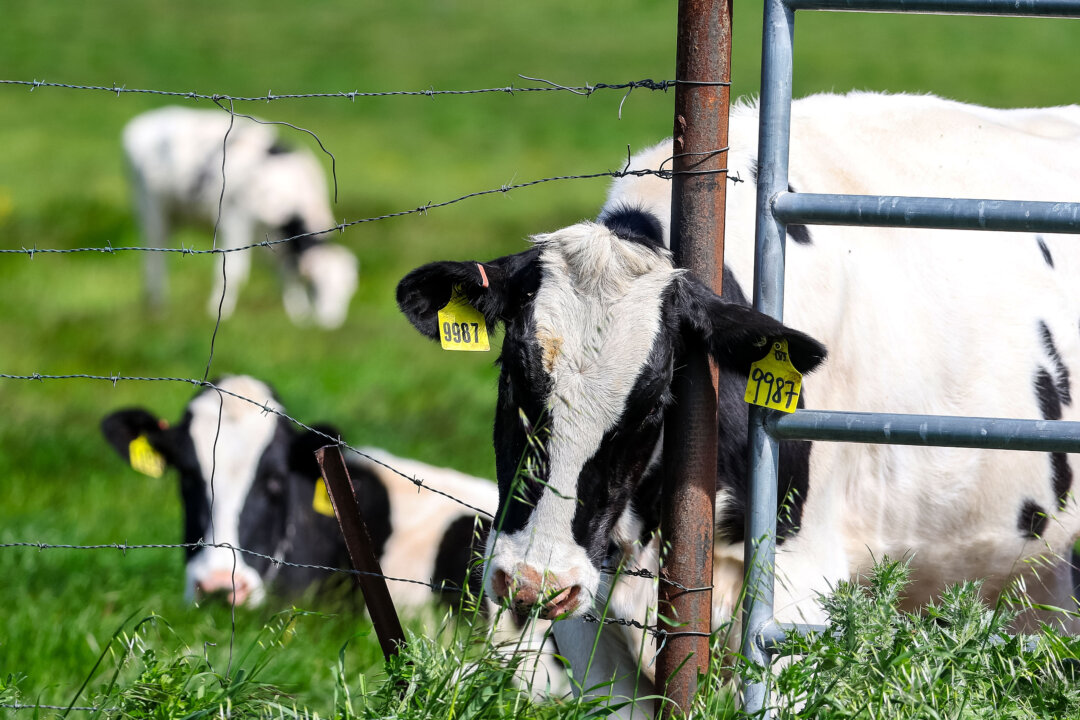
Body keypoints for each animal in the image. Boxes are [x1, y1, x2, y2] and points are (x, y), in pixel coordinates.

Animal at [123, 106, 358, 329]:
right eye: (316, 286)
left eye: (348, 291)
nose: (330, 323)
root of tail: (145, 122)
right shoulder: (235, 219)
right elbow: (234, 272)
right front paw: (218, 313)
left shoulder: (275, 240)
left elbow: (286, 273)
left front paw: (297, 315)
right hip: (150, 207)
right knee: (154, 258)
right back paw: (157, 306)